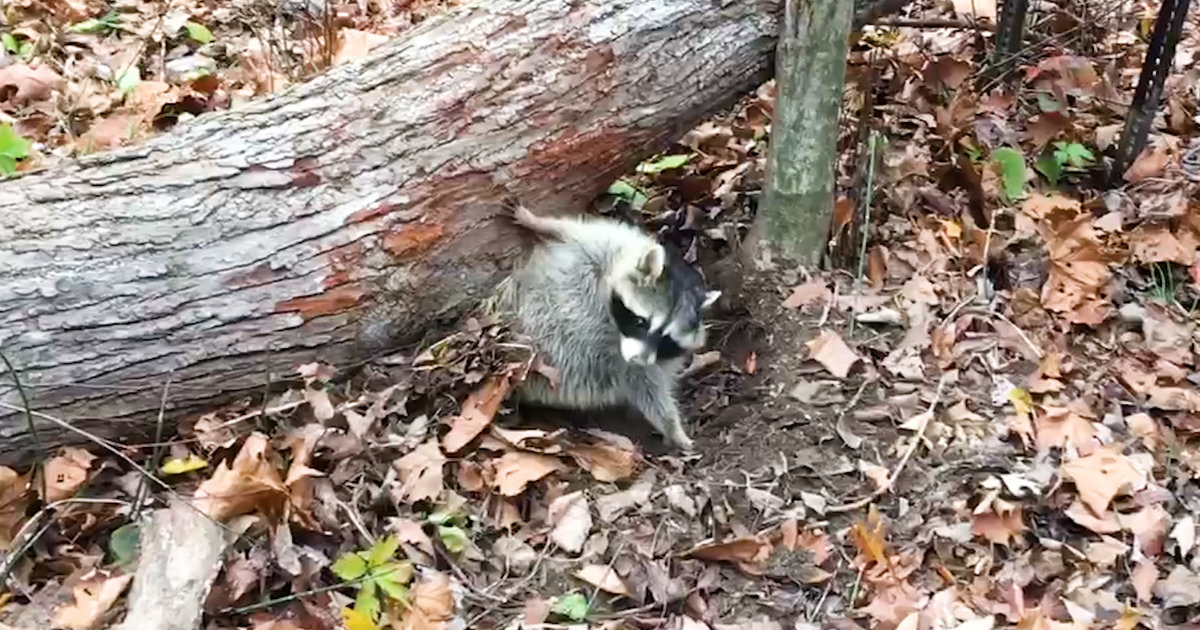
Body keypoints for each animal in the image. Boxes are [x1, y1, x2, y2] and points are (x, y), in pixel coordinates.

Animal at [500, 204, 720, 451]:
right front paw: (536, 221)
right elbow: (568, 230)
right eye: (641, 322)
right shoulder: (607, 244)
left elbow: (647, 386)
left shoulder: (642, 362)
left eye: (666, 340)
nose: (639, 359)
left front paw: (672, 428)